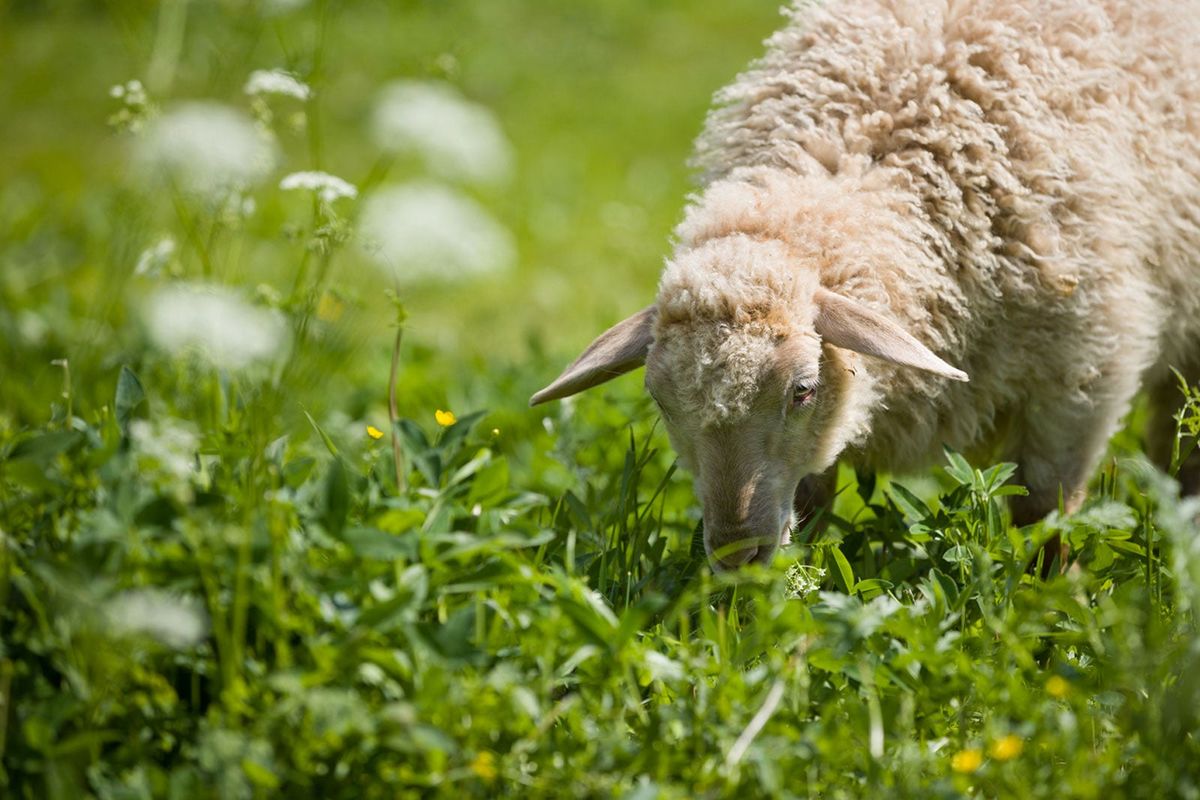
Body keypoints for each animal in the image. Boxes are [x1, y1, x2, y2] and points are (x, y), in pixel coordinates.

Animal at [531, 0, 1200, 570]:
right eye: (661, 402)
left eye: (802, 390)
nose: (735, 555)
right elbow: (810, 496)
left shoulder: (1083, 376)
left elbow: (1046, 521)